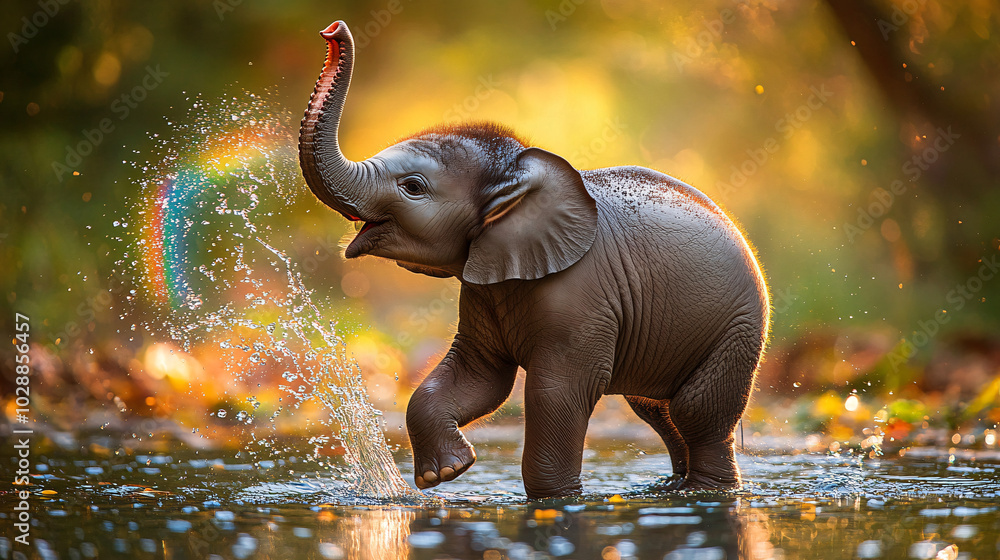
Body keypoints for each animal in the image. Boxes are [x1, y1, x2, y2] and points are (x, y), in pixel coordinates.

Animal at [299, 21, 769, 499]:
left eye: (413, 186)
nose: (332, 30)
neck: (520, 170)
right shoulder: (484, 289)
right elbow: (480, 376)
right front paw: (445, 474)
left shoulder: (583, 296)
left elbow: (558, 391)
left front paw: (554, 498)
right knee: (656, 410)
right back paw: (674, 490)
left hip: (739, 328)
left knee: (696, 411)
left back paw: (707, 492)